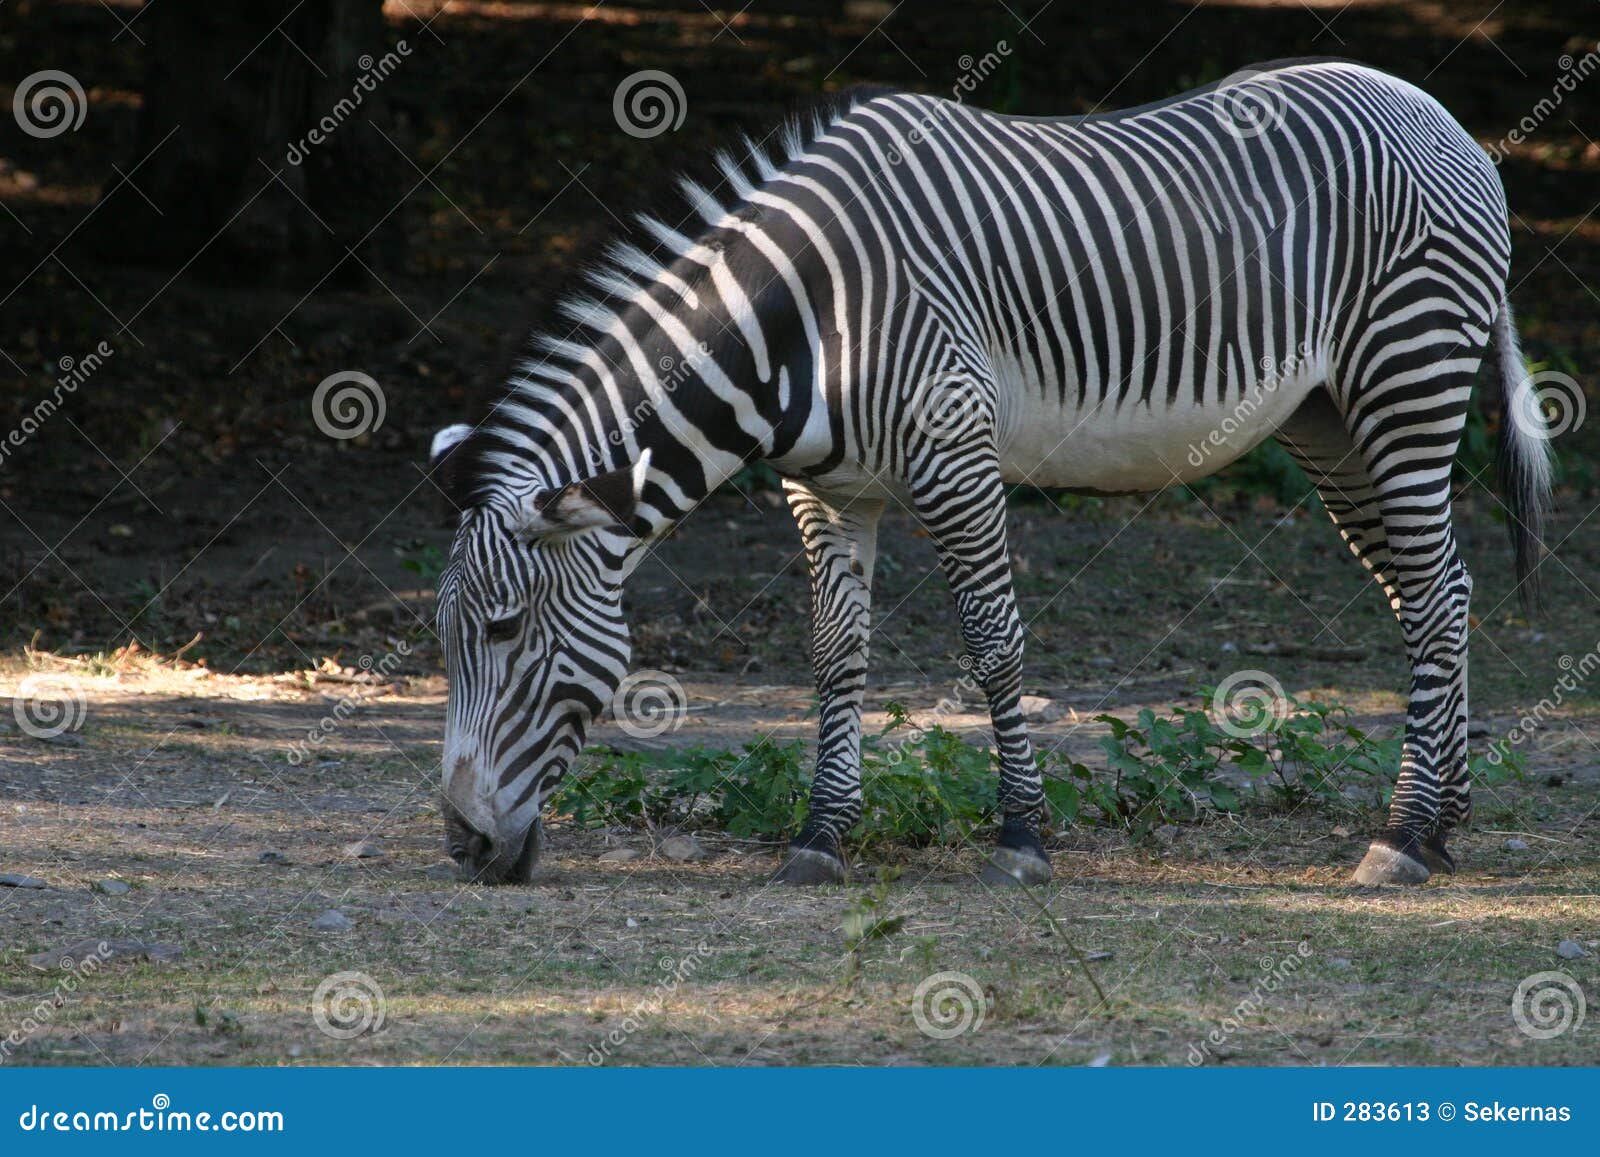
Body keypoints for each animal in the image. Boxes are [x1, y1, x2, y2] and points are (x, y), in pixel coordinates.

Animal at [429, 58, 1551, 889]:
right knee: (1437, 591)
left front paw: (1021, 837)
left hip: (1405, 378)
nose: (463, 847)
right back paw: (1443, 820)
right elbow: (835, 655)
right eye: (445, 637)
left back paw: (1402, 837)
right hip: (1329, 422)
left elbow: (994, 642)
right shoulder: (829, 489)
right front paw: (819, 837)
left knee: (1435, 598)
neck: (799, 320)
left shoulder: (954, 453)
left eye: (504, 630)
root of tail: (1435, 110)